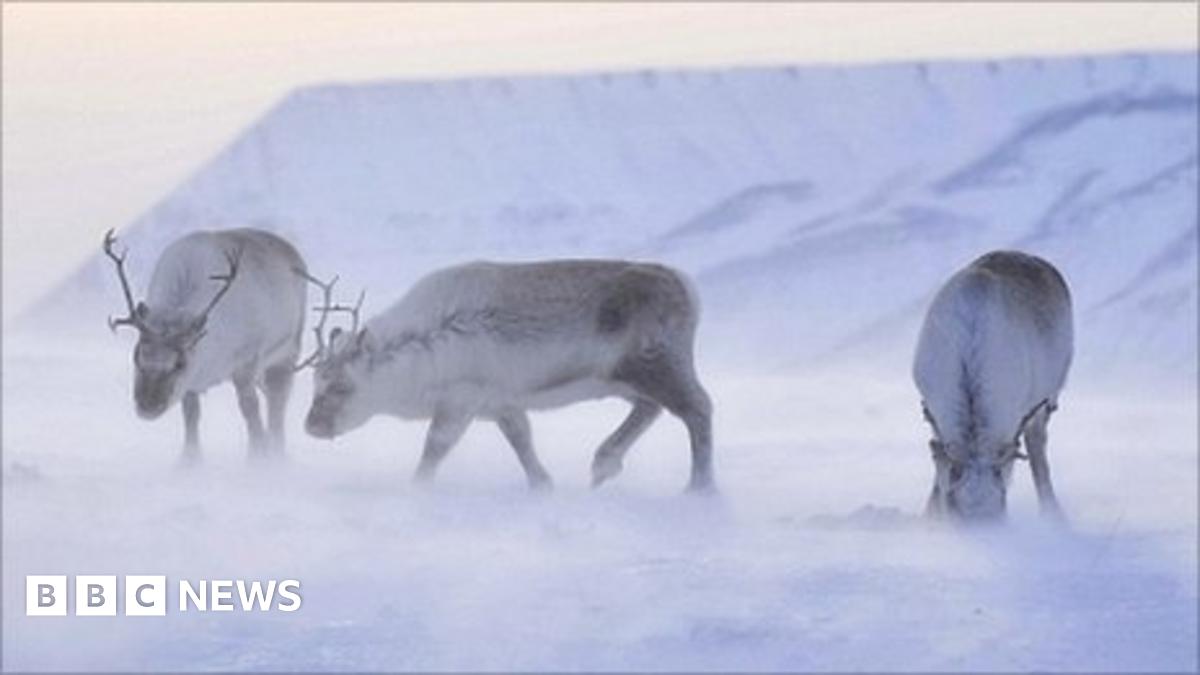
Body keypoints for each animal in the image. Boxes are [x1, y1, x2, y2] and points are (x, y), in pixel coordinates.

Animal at [103, 228, 308, 461]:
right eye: (136, 356)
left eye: (180, 363)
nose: (147, 407)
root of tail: (290, 249)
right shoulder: (192, 381)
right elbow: (191, 415)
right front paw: (189, 459)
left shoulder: (246, 362)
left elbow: (250, 409)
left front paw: (257, 456)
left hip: (287, 351)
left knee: (277, 405)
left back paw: (278, 452)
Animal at [298, 260, 714, 492]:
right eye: (315, 383)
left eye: (343, 386)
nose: (311, 426)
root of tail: (691, 289)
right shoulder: (501, 401)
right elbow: (521, 441)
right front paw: (542, 484)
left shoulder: (462, 397)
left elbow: (435, 446)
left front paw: (417, 487)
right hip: (622, 378)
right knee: (651, 408)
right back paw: (603, 464)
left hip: (656, 363)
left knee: (697, 408)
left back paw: (700, 487)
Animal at [913, 250, 1073, 522]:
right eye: (955, 510)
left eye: (999, 510)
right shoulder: (932, 410)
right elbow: (940, 466)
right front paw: (930, 515)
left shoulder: (1015, 418)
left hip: (1045, 402)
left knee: (1038, 450)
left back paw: (1052, 512)